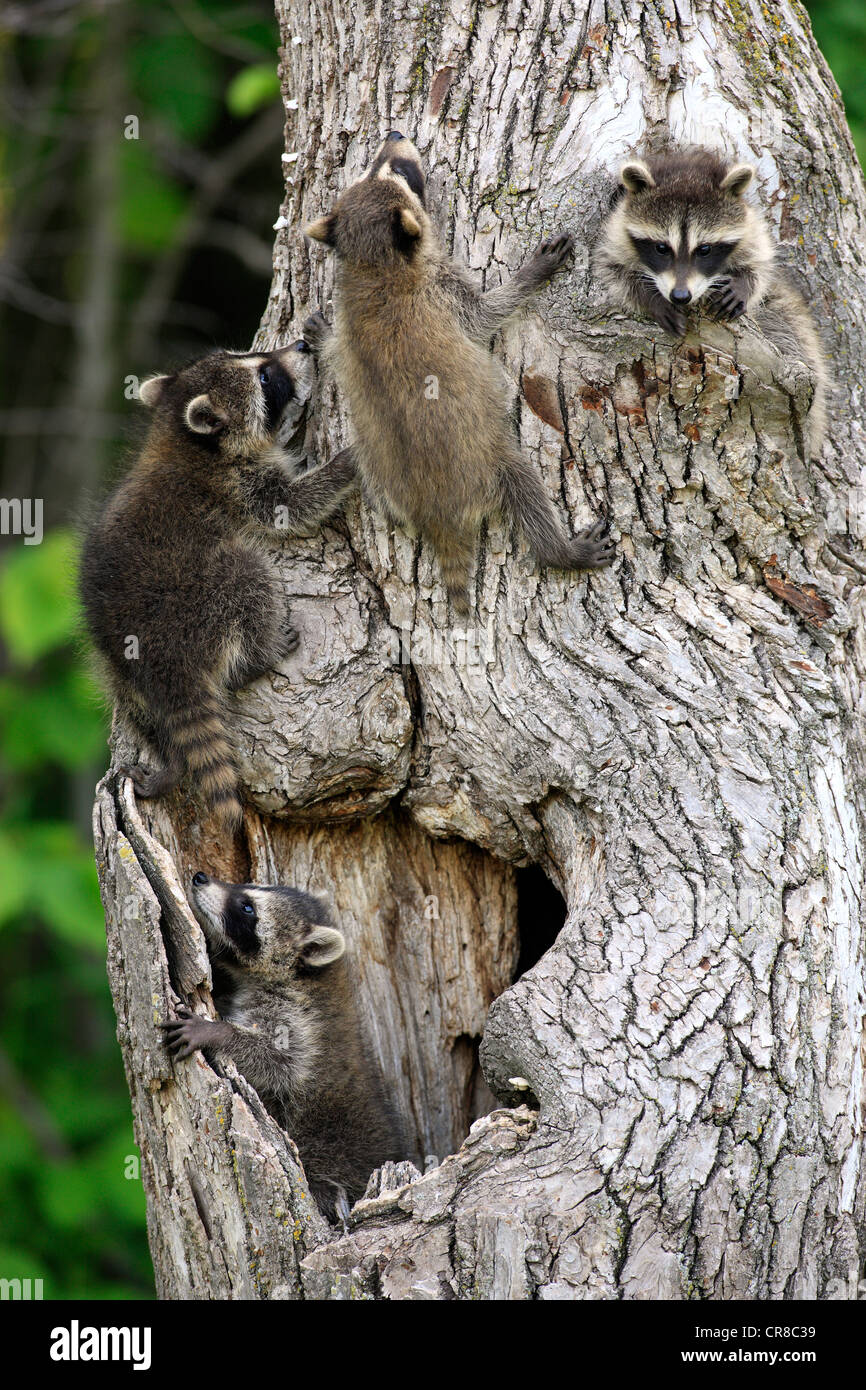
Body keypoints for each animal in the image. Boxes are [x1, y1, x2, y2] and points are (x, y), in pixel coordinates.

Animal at [80, 343, 357, 829]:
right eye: (264, 377)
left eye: (249, 354)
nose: (301, 345)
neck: (182, 438)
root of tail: (162, 658)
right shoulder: (240, 484)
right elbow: (294, 506)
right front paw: (345, 465)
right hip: (200, 593)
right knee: (248, 577)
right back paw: (259, 654)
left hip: (118, 666)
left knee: (143, 711)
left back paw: (170, 763)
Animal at [161, 872, 406, 1219]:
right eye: (247, 887)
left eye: (247, 908)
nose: (200, 877)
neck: (306, 978)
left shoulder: (300, 1022)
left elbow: (280, 1062)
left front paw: (217, 1032)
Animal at [303, 131, 615, 614]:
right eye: (397, 172)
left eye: (377, 169)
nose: (395, 135)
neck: (372, 262)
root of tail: (436, 515)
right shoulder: (443, 293)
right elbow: (487, 314)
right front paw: (530, 275)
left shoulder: (353, 314)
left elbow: (339, 349)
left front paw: (323, 339)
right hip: (490, 462)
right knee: (524, 484)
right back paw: (560, 550)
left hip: (378, 475)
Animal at [592, 148, 827, 454]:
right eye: (661, 248)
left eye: (704, 249)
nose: (680, 296)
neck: (687, 171)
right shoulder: (614, 235)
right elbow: (614, 272)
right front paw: (653, 300)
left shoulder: (752, 230)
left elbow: (761, 265)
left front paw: (743, 285)